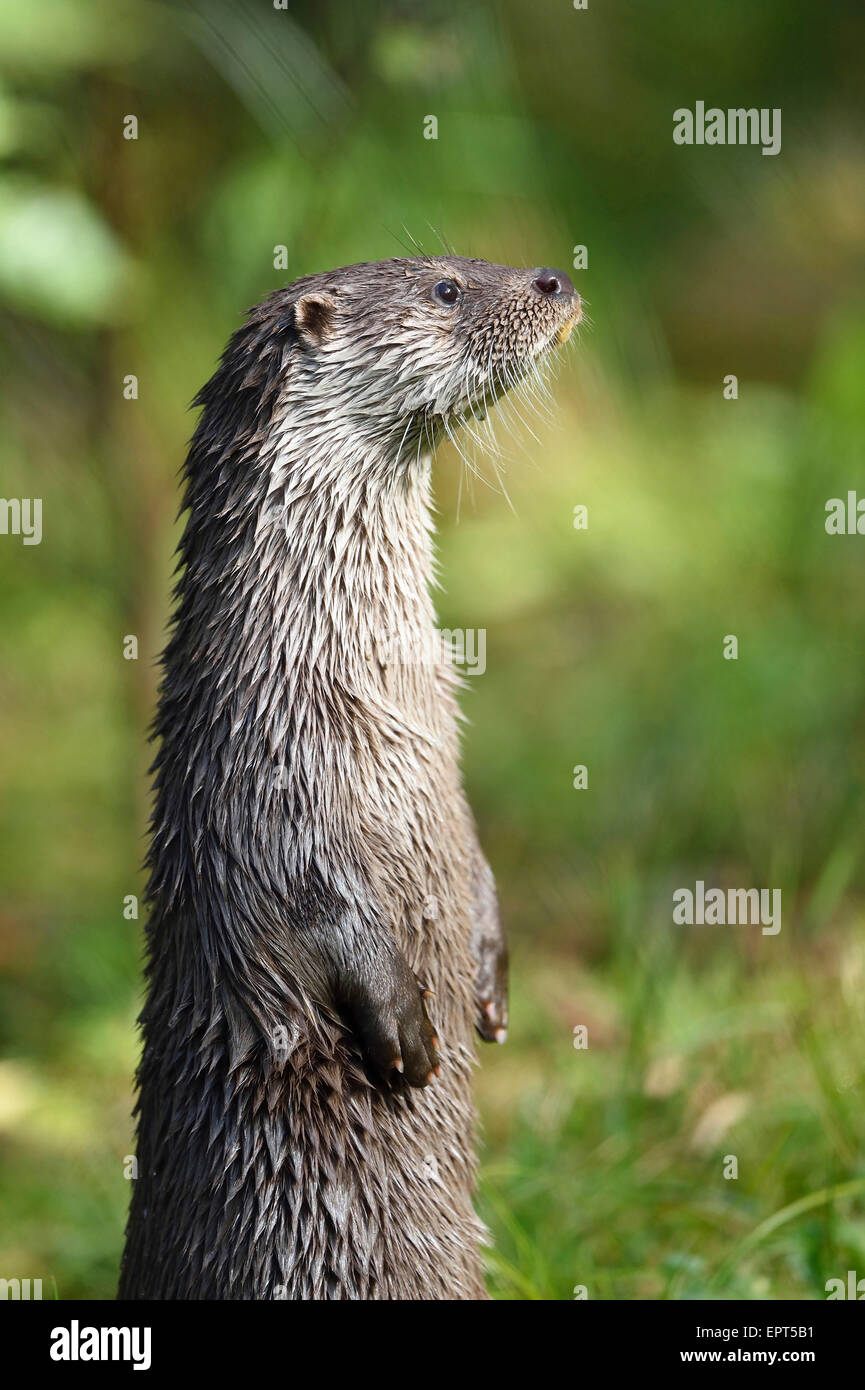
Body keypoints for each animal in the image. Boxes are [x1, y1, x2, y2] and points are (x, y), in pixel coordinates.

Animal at [118, 256, 580, 1300]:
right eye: (447, 287)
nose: (553, 277)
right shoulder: (264, 780)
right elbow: (309, 898)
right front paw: (407, 1032)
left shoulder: (443, 750)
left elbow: (473, 850)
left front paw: (489, 977)